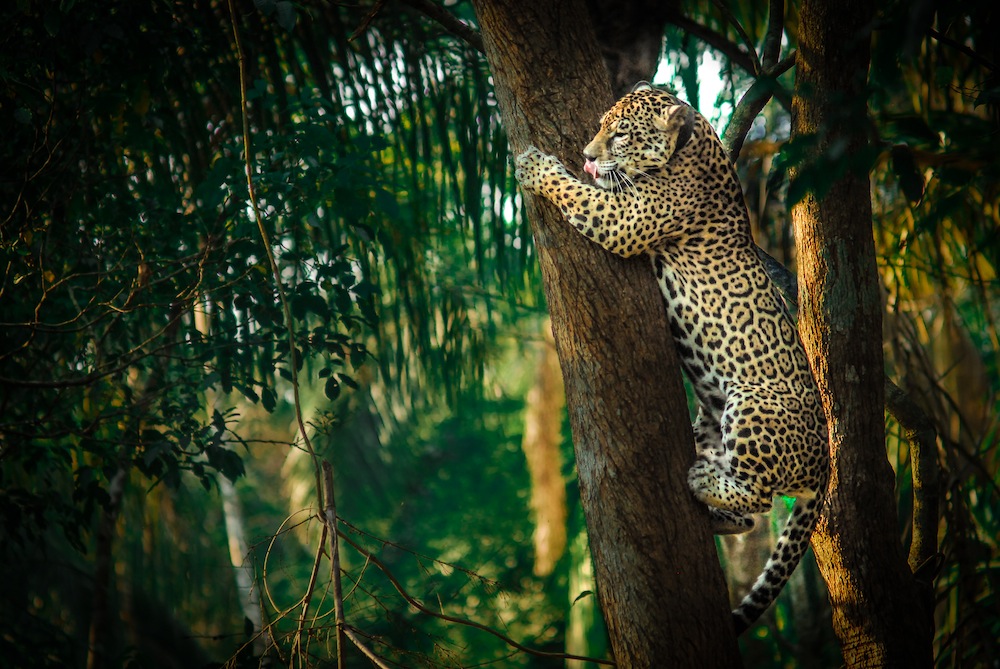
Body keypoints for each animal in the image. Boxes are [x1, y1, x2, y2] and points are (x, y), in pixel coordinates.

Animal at [514, 83, 830, 634]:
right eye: (601, 124)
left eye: (620, 134)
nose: (587, 154)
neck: (693, 139)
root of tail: (828, 463)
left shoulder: (623, 217)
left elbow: (575, 191)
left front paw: (534, 165)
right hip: (709, 418)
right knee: (748, 512)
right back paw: (716, 508)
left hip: (750, 401)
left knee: (760, 494)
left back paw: (705, 482)